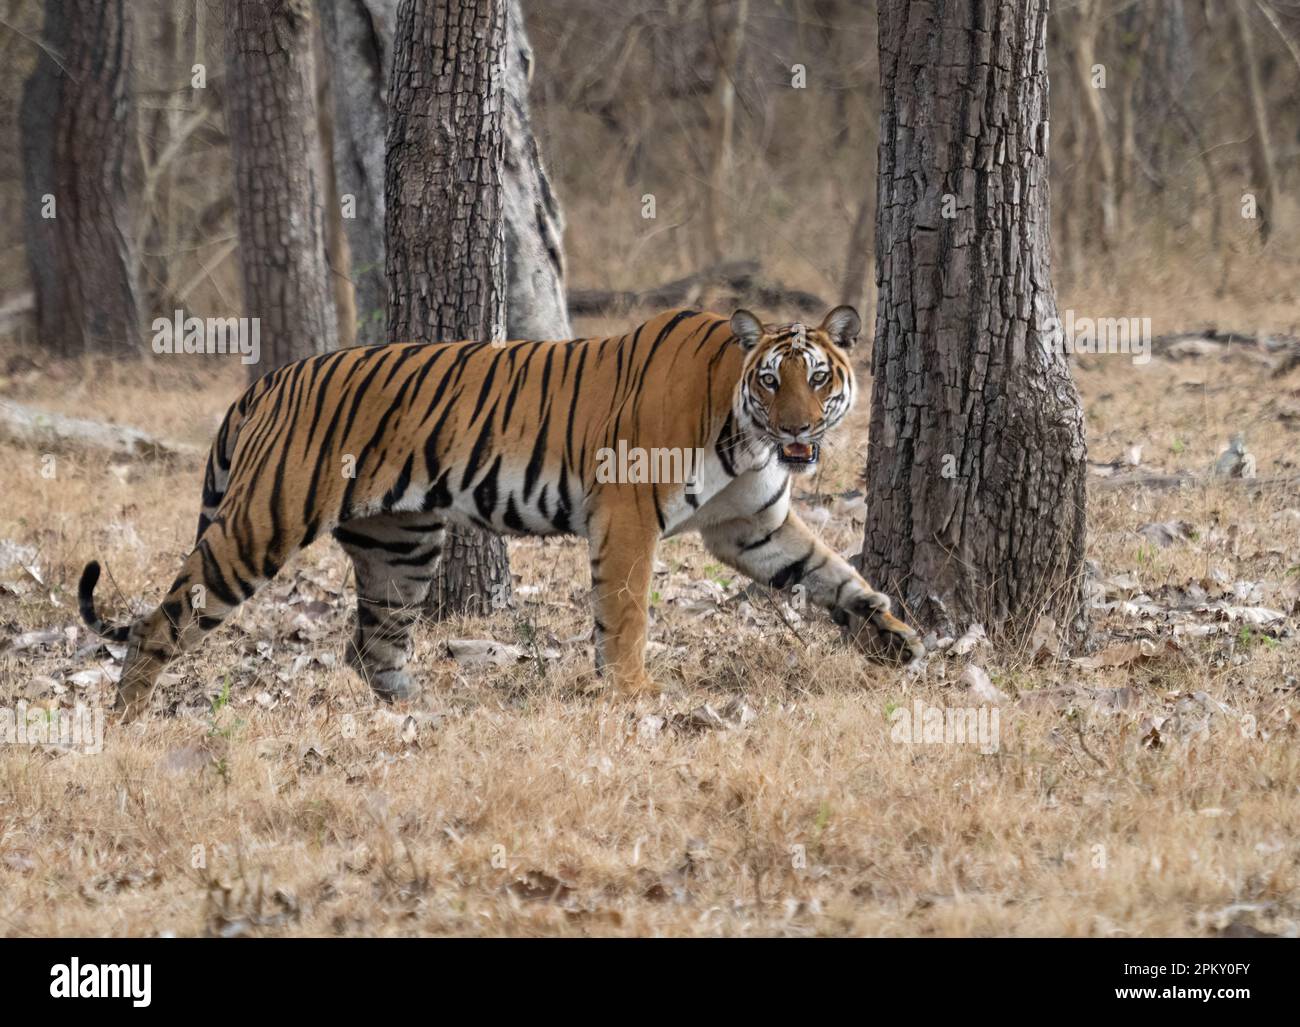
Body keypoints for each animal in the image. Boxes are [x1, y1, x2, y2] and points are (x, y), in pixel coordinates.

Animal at [80, 305, 924, 719]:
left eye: (819, 377)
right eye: (773, 380)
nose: (797, 429)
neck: (742, 429)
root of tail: (267, 381)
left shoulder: (751, 525)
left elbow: (835, 574)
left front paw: (898, 637)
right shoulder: (627, 514)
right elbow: (625, 611)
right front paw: (633, 694)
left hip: (402, 547)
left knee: (372, 647)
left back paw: (423, 719)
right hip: (262, 524)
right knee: (161, 621)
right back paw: (126, 723)